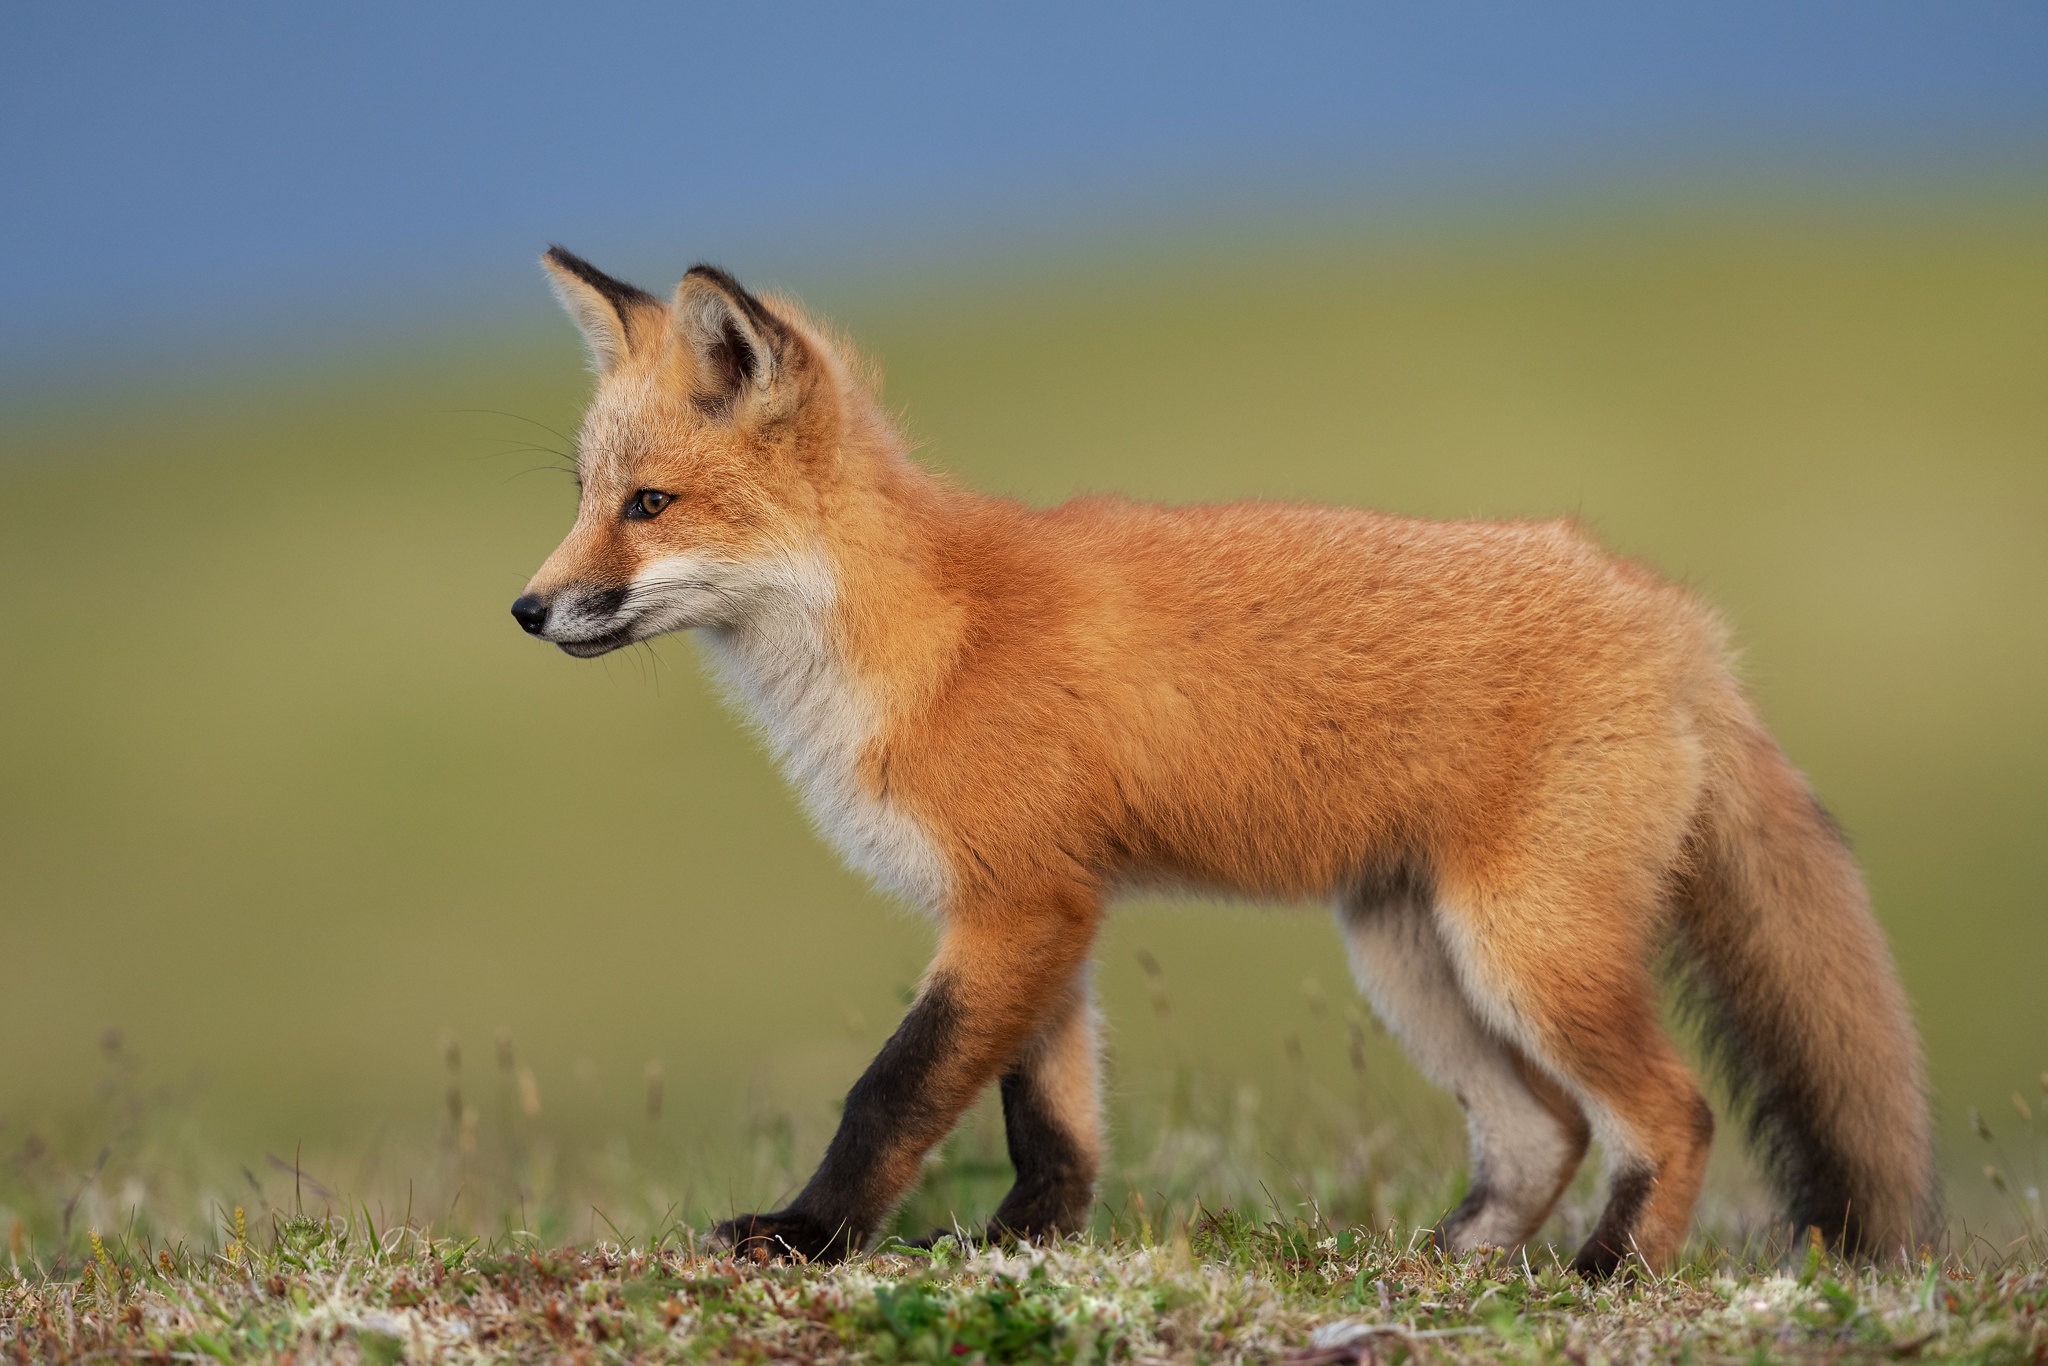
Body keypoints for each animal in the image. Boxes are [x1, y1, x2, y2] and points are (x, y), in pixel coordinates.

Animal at [510, 246, 1935, 1274]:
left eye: (649, 505)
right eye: (582, 498)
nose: (526, 610)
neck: (916, 634)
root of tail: (1674, 617)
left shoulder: (1016, 905)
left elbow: (891, 1092)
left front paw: (809, 1236)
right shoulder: (1040, 906)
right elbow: (1051, 1124)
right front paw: (1022, 1246)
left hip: (1524, 947)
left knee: (1670, 1109)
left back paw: (1607, 1274)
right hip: (1411, 955)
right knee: (1545, 1128)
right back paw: (1445, 1262)